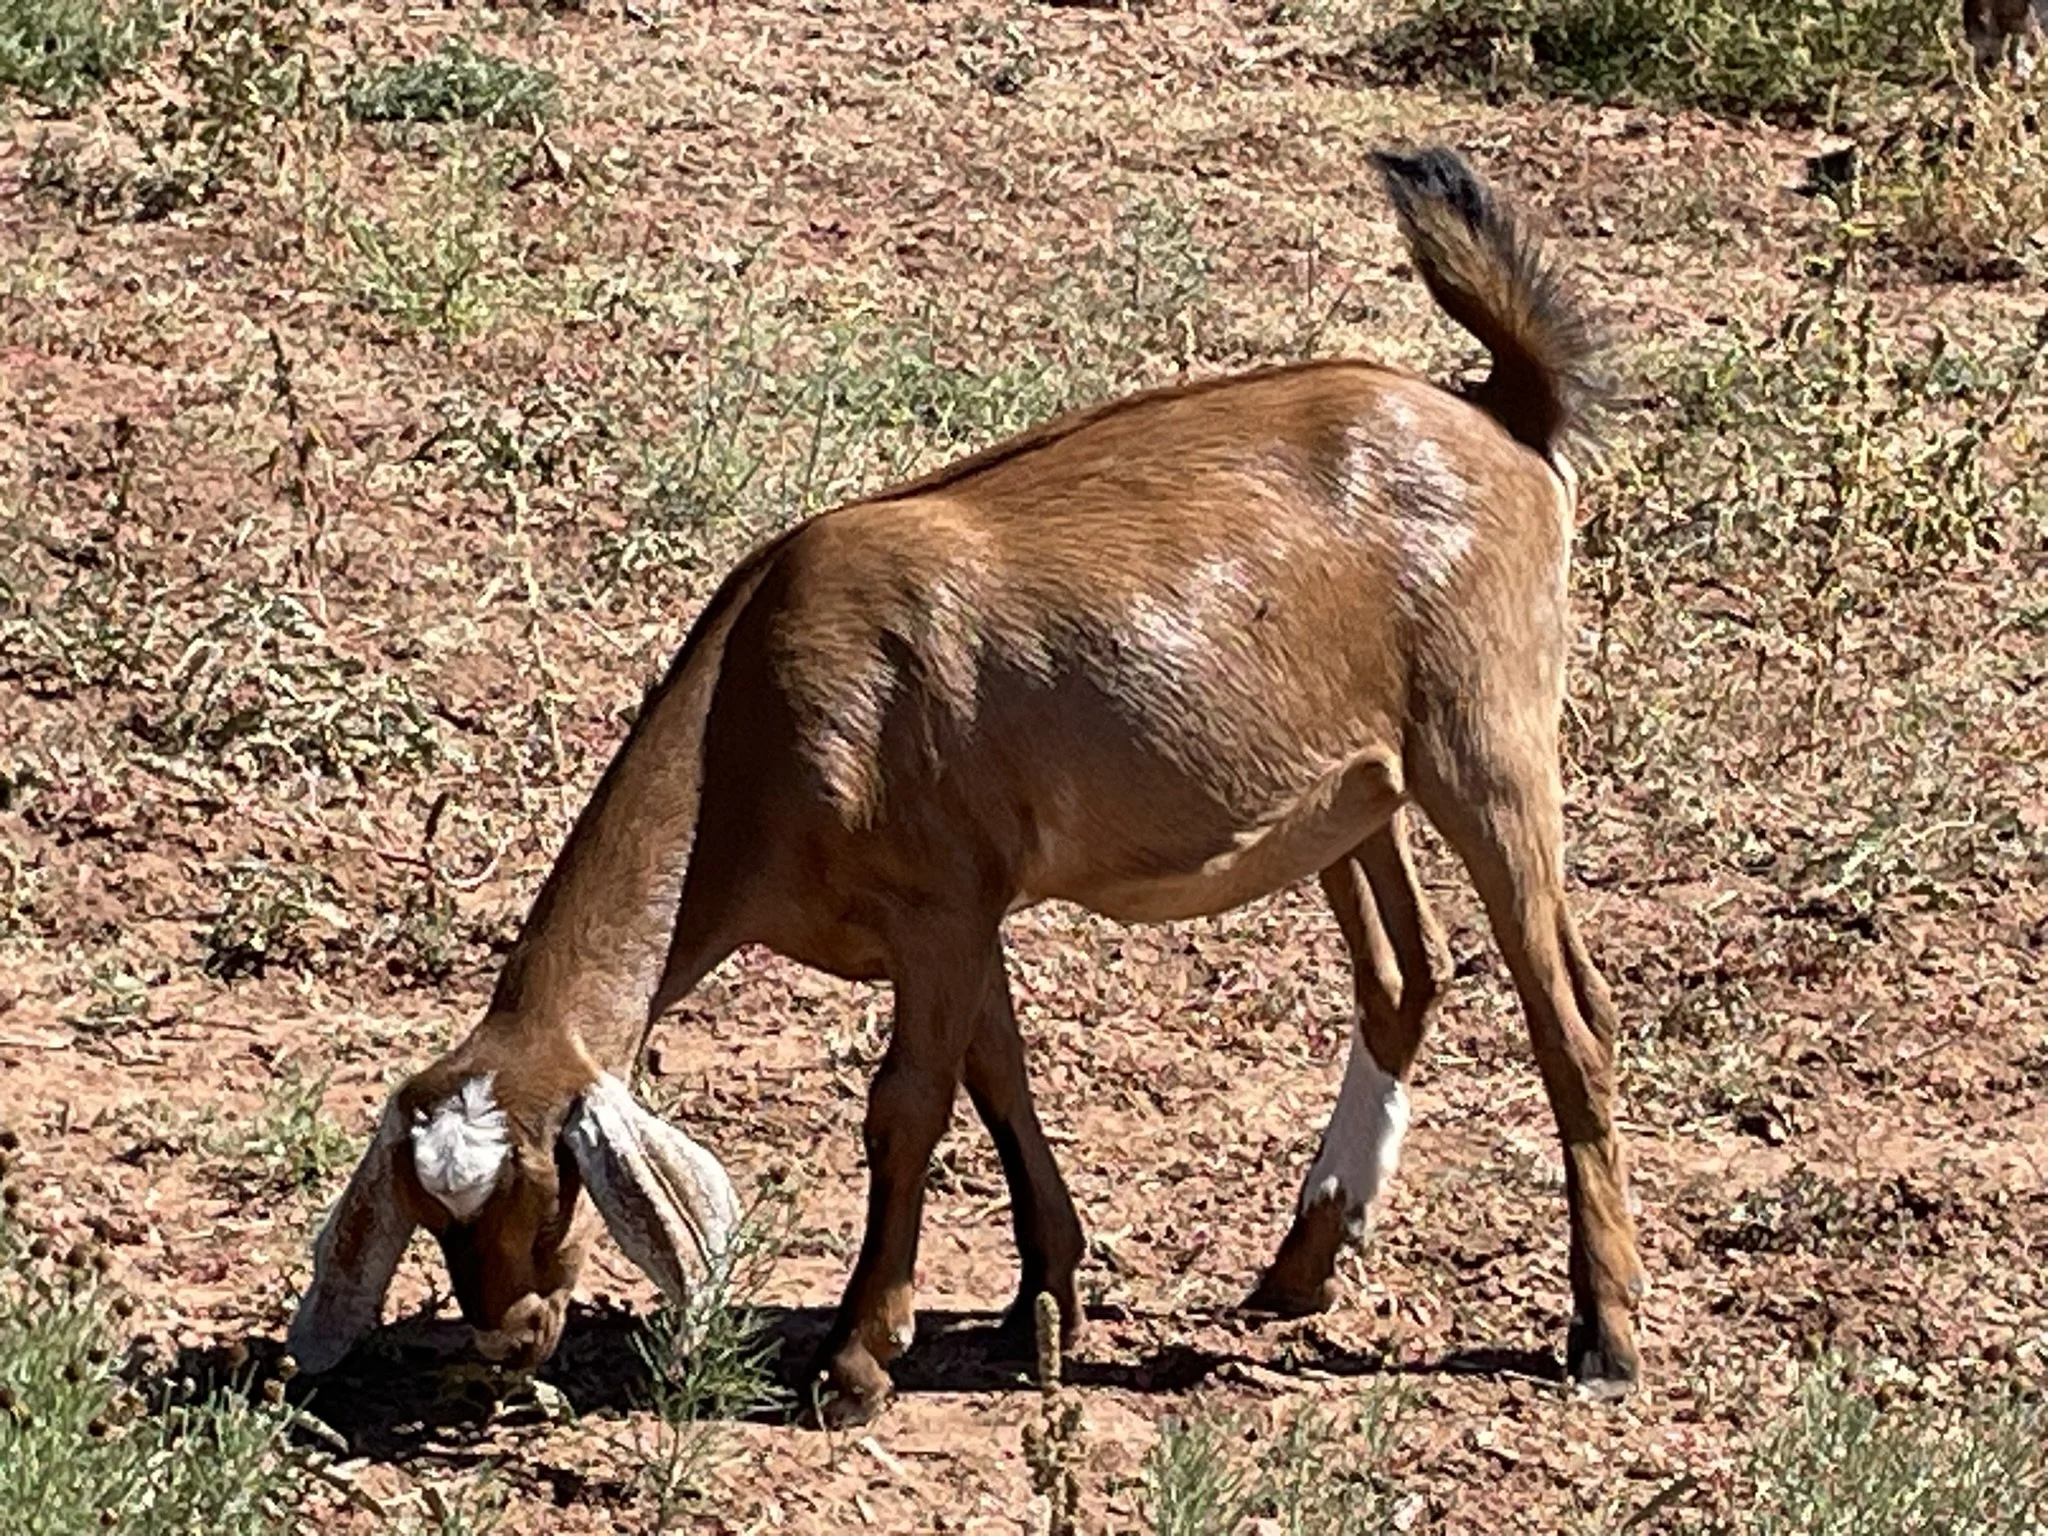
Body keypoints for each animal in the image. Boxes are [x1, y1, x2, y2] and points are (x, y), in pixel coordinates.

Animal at [289, 146, 1646, 1426]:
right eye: (433, 1215)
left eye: (544, 1184)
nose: (505, 1341)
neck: (754, 721)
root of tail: (1498, 415)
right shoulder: (961, 911)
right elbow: (1000, 1081)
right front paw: (1039, 1298)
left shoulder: (935, 902)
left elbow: (907, 1109)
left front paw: (855, 1358)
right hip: (1353, 794)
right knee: (1403, 975)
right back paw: (1301, 1264)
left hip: (1486, 740)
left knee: (1569, 1011)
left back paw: (1604, 1333)